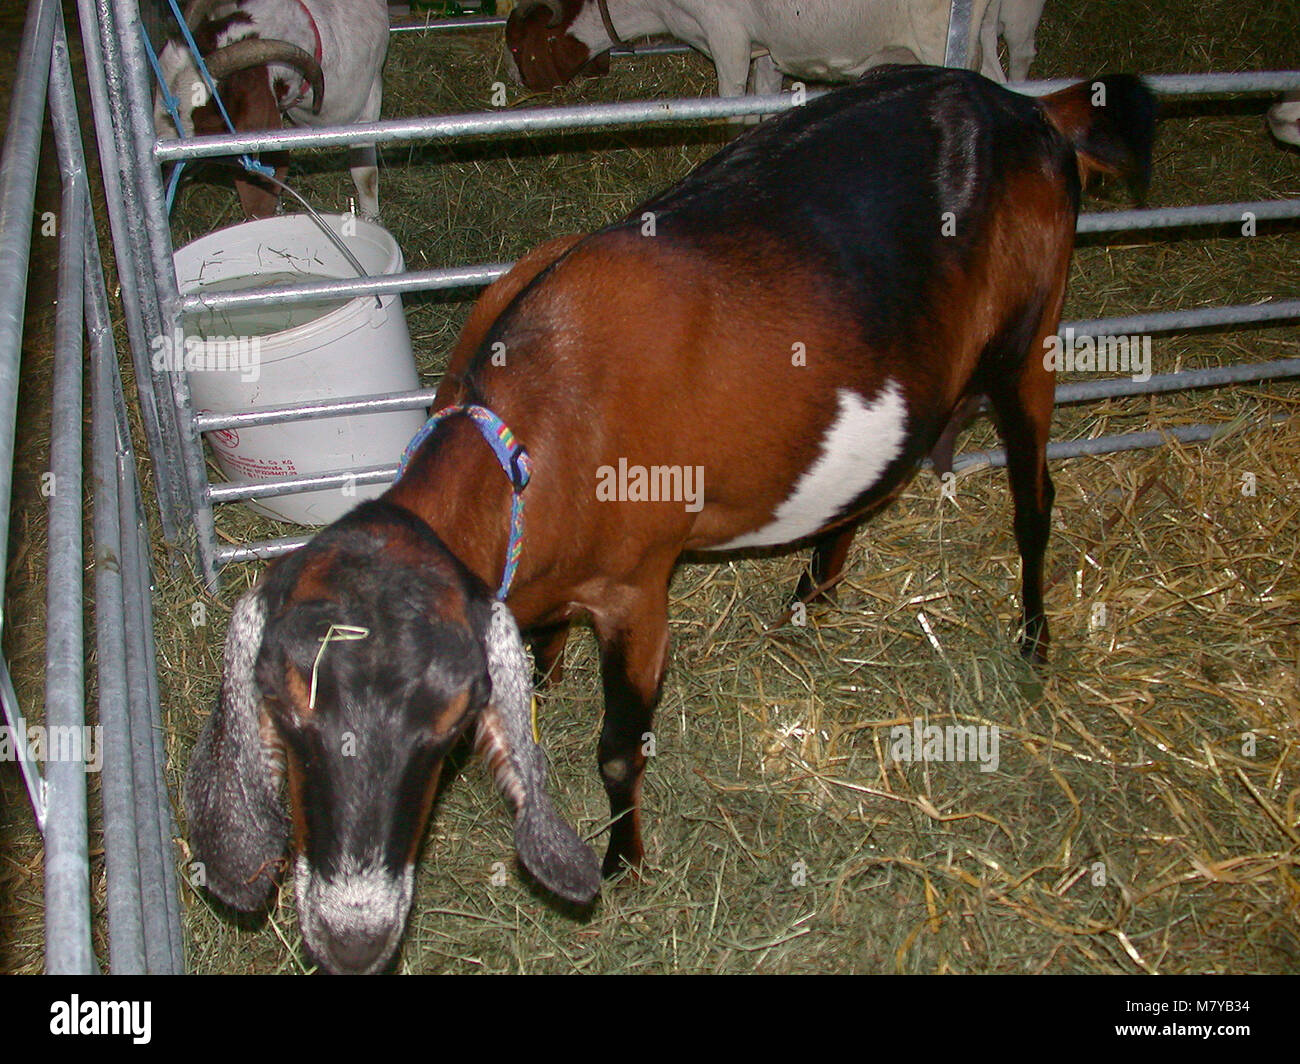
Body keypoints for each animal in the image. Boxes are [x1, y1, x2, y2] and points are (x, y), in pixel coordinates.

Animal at [187, 65, 1156, 973]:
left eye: (445, 722)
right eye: (282, 715)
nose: (350, 934)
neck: (532, 427)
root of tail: (1027, 106)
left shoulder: (636, 588)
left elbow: (620, 749)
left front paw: (622, 862)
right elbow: (543, 645)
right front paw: (543, 687)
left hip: (1031, 339)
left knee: (1035, 500)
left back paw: (1033, 636)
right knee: (880, 482)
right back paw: (809, 597)